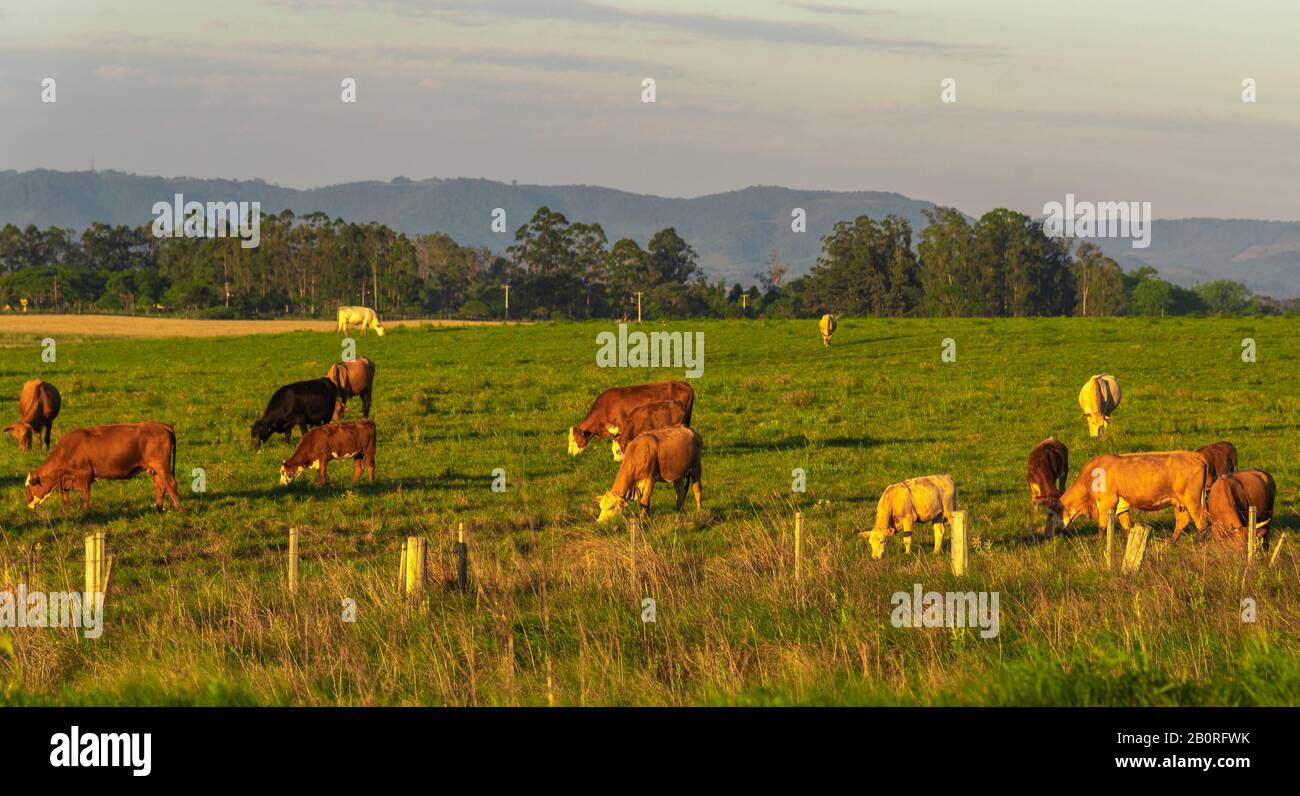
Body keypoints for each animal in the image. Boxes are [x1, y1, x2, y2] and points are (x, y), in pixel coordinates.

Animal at [23, 421, 182, 511]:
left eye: (28, 488)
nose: (28, 505)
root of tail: (161, 425)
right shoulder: (66, 478)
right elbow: (65, 495)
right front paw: (67, 509)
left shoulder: (85, 475)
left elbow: (85, 496)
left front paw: (85, 511)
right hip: (155, 469)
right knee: (160, 485)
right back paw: (158, 508)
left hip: (161, 465)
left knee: (170, 484)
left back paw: (179, 509)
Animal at [1057, 451, 1208, 542]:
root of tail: (1192, 454)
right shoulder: (1121, 504)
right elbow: (1126, 526)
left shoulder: (1107, 501)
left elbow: (1102, 525)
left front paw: (1096, 541)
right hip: (1179, 502)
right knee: (1183, 520)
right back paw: (1170, 542)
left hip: (1192, 500)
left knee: (1201, 519)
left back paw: (1200, 540)